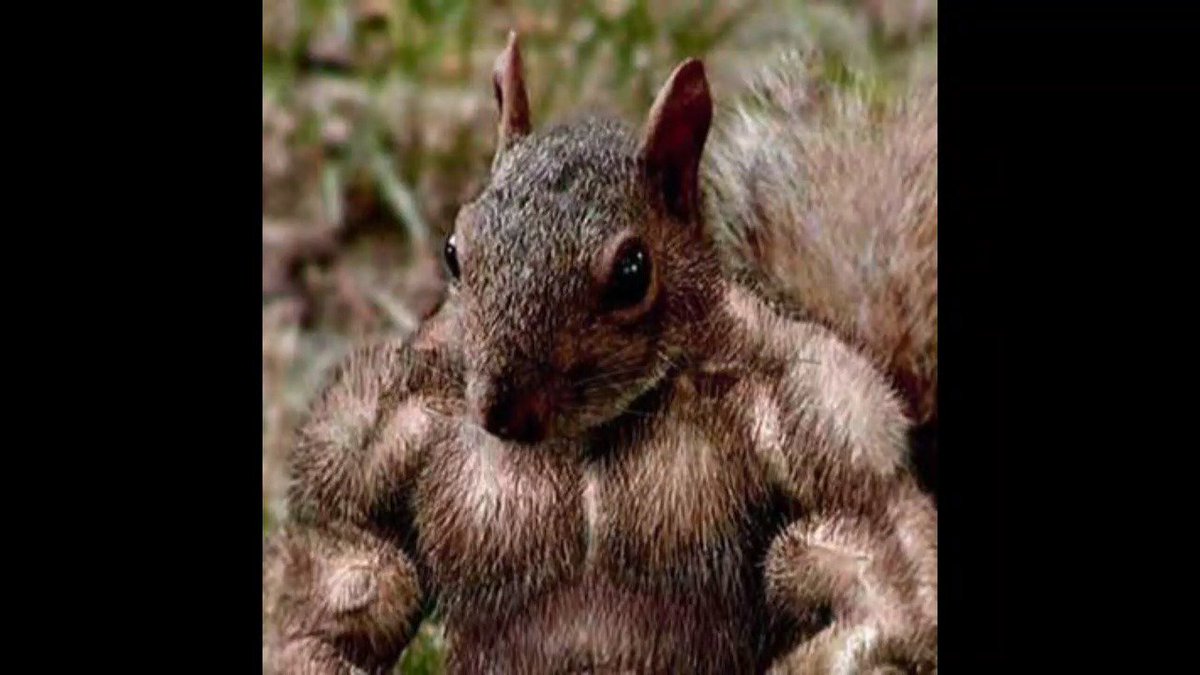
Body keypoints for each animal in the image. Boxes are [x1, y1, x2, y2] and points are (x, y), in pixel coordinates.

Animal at [263, 32, 937, 675]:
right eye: (453, 251)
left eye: (633, 273)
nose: (501, 413)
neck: (586, 436)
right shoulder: (373, 434)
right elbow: (352, 573)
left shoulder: (829, 424)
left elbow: (886, 578)